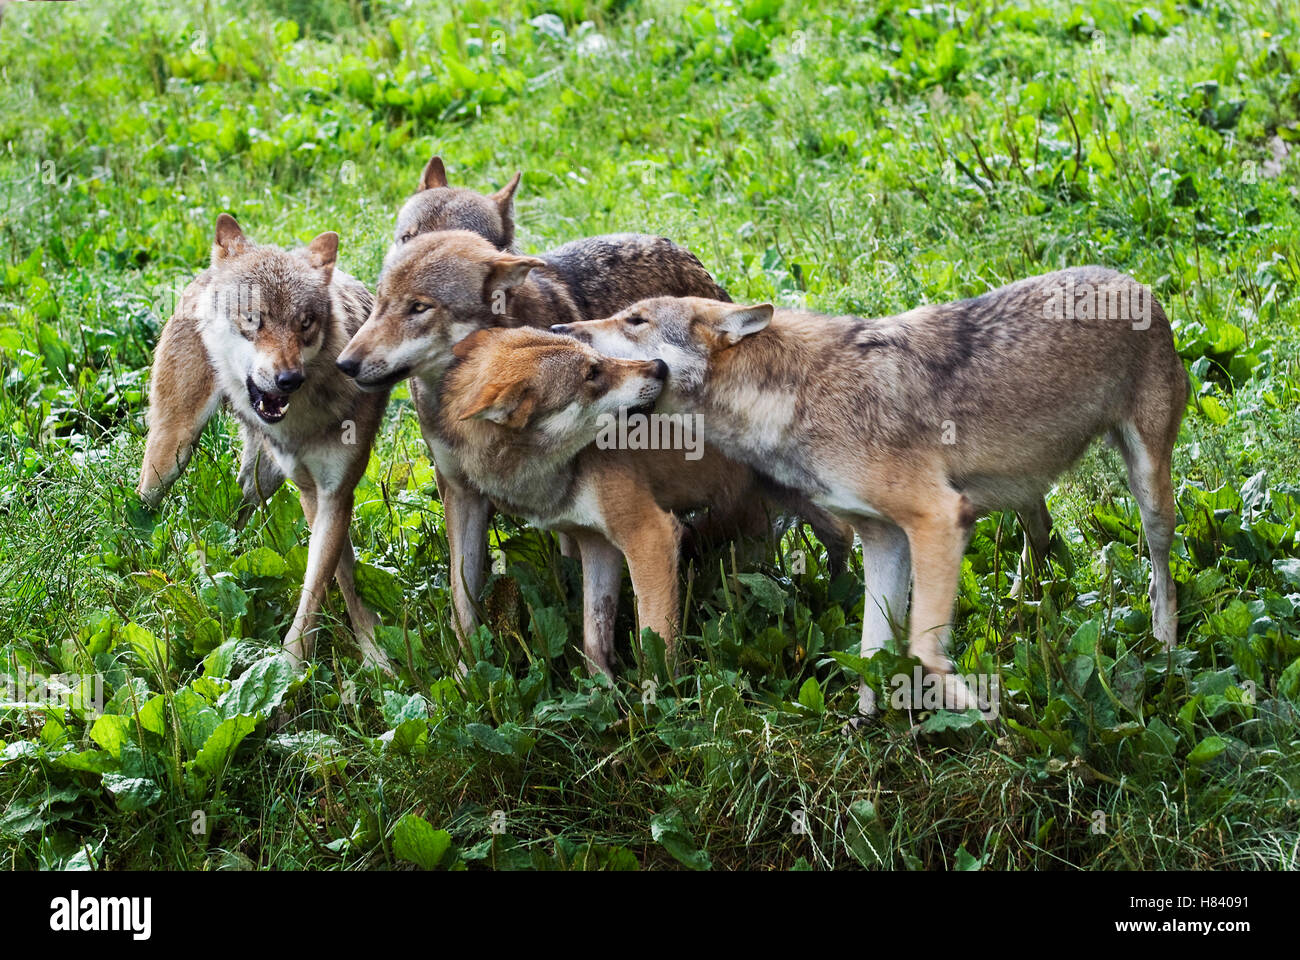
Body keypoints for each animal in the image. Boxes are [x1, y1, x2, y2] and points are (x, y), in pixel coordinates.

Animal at [137, 214, 392, 671]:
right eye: (253, 319)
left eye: (305, 323)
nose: (289, 379)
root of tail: (211, 269)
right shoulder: (312, 493)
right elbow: (333, 578)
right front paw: (292, 670)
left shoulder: (335, 493)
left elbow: (330, 580)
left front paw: (370, 653)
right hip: (169, 459)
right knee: (140, 509)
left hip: (264, 478)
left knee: (235, 511)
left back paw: (221, 567)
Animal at [557, 266, 1189, 712]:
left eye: (635, 320)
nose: (562, 329)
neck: (797, 395)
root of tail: (1137, 283)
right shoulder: (884, 538)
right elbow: (870, 653)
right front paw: (865, 733)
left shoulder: (939, 519)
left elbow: (921, 652)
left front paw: (984, 712)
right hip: (1021, 489)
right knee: (1043, 533)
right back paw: (1025, 598)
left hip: (1150, 496)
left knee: (1164, 570)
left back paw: (1164, 649)